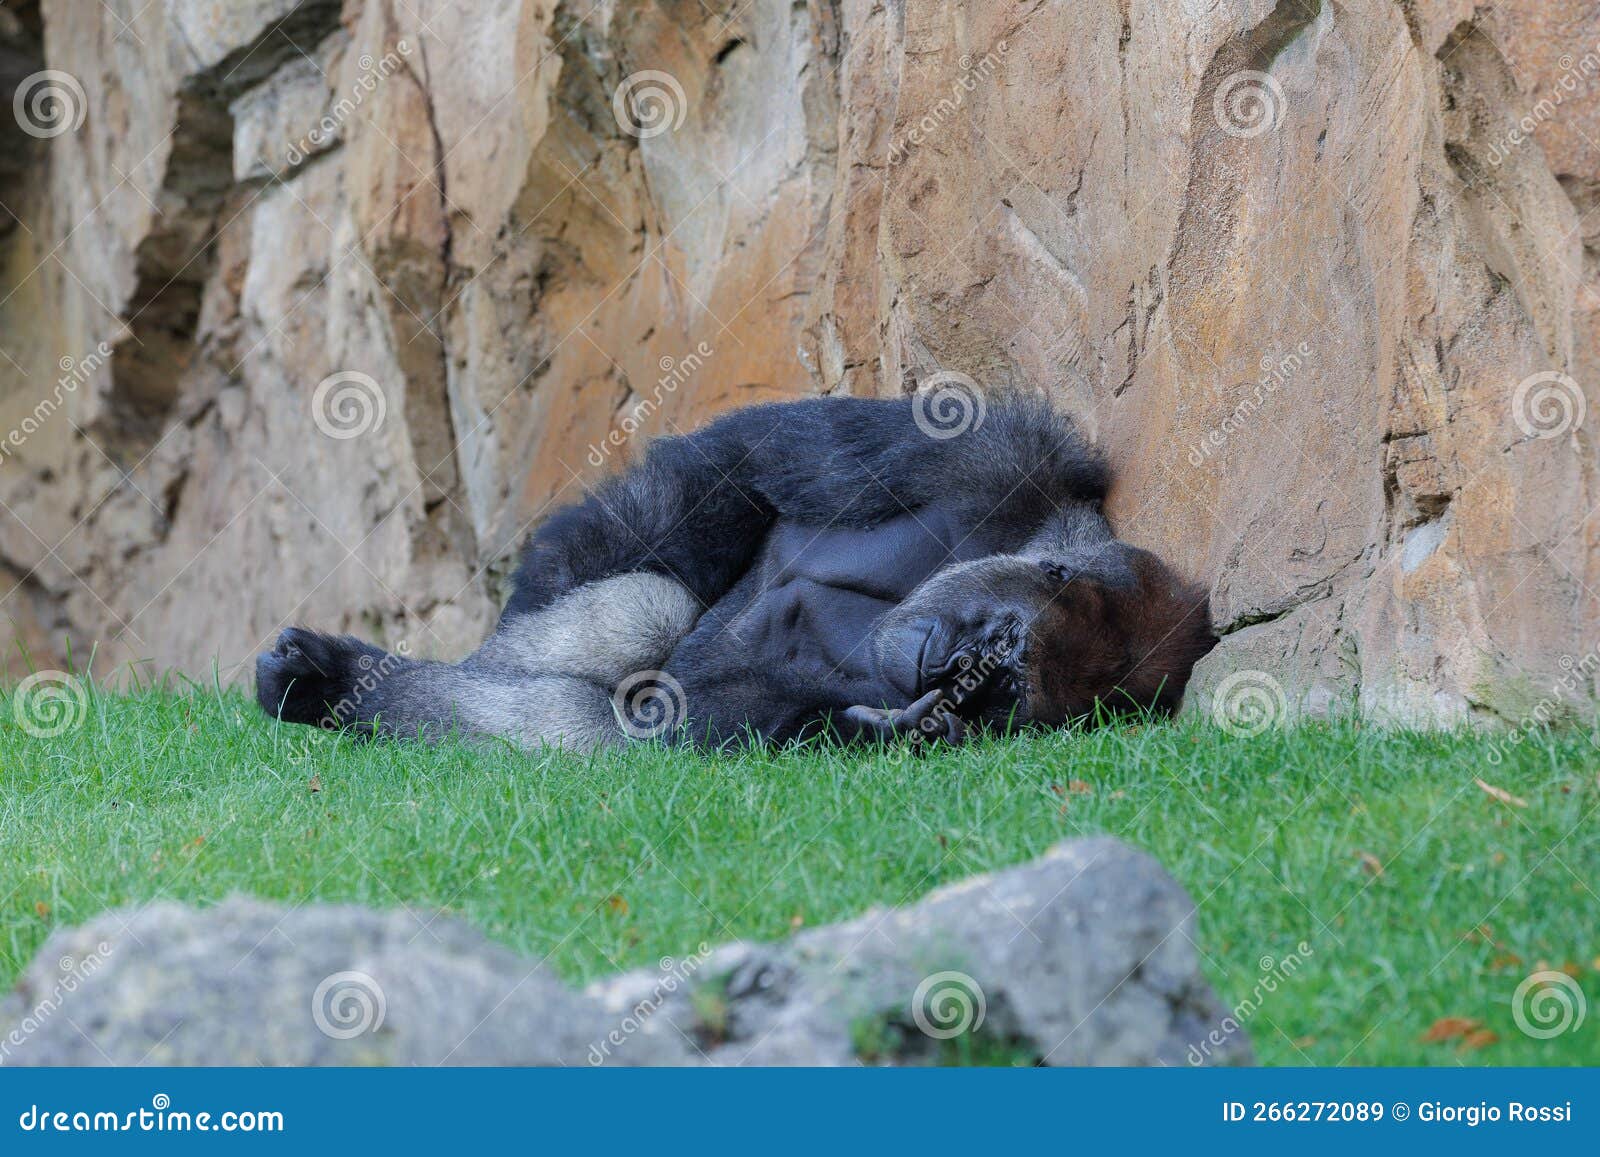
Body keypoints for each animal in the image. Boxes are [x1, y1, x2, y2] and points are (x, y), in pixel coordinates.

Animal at [256, 392, 1216, 750]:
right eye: (1000, 642)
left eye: (1003, 690)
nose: (956, 670)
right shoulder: (993, 453)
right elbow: (719, 479)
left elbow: (689, 723)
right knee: (641, 605)